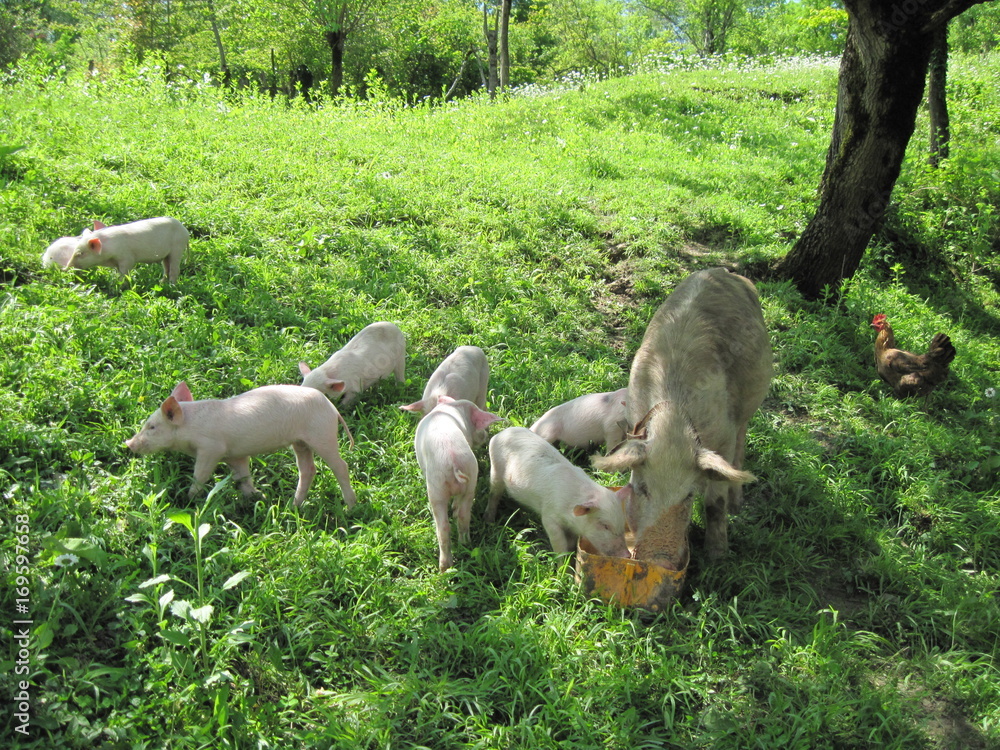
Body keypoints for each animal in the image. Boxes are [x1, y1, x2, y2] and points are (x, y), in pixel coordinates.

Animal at [126, 381, 357, 509]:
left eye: (152, 426)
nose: (129, 444)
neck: (189, 427)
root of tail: (332, 408)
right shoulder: (234, 455)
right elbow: (242, 477)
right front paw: (257, 498)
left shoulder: (211, 448)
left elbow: (200, 474)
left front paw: (189, 499)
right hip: (300, 442)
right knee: (308, 469)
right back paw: (294, 505)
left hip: (322, 435)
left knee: (340, 466)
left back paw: (350, 507)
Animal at [413, 396, 502, 571]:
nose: (485, 434)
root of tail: (453, 461)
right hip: (471, 478)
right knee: (463, 515)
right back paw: (465, 544)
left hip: (436, 488)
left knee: (443, 527)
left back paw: (444, 568)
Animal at [485, 426, 631, 558]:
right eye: (605, 526)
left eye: (622, 522)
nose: (627, 555)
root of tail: (501, 433)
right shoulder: (549, 516)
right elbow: (560, 546)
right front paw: (562, 565)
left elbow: (571, 543)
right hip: (496, 469)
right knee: (494, 495)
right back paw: (490, 520)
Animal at [591, 268, 773, 570]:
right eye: (642, 488)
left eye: (688, 494)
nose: (659, 558)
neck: (672, 422)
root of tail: (723, 271)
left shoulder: (722, 436)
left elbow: (714, 503)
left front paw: (717, 556)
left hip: (749, 404)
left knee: (740, 446)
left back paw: (737, 506)